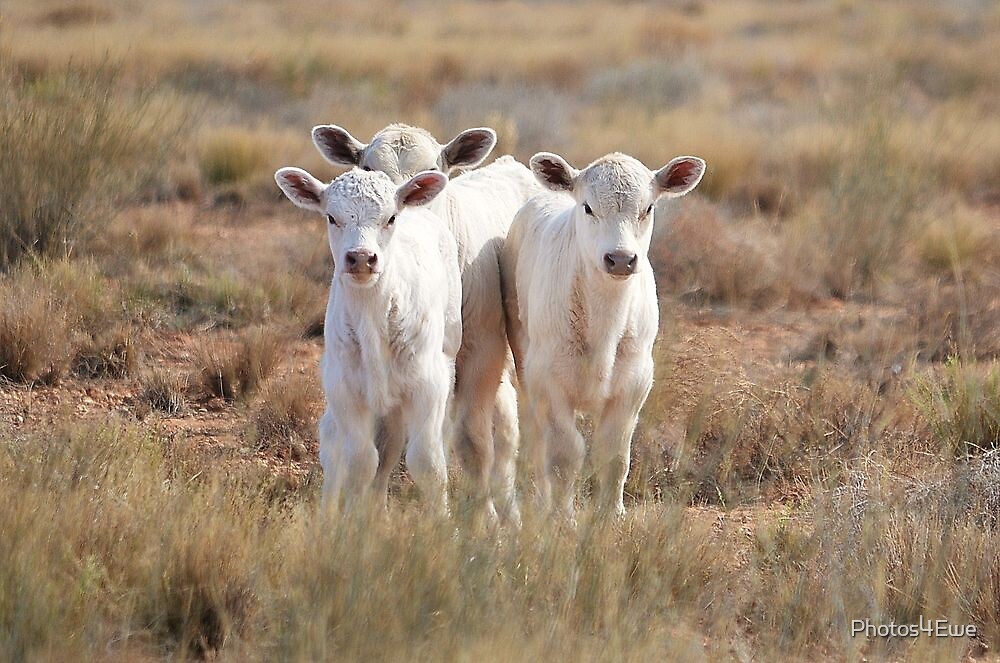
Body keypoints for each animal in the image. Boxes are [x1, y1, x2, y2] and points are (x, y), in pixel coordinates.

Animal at [275, 165, 461, 514]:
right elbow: (361, 462)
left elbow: (428, 462)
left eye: (390, 218)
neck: (373, 321)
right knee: (337, 442)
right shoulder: (344, 388)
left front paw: (442, 522)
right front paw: (352, 522)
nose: (361, 258)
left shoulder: (427, 384)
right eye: (331, 217)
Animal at [311, 123, 543, 525]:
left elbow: (472, 441)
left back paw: (508, 511)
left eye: (434, 169)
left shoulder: (481, 350)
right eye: (367, 167)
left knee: (502, 433)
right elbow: (381, 445)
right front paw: (373, 514)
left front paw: (483, 521)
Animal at [501, 151, 706, 518]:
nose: (621, 259)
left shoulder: (635, 381)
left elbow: (614, 455)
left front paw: (612, 514)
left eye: (648, 208)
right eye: (588, 208)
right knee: (538, 443)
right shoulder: (547, 380)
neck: (604, 328)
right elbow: (565, 453)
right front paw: (563, 516)